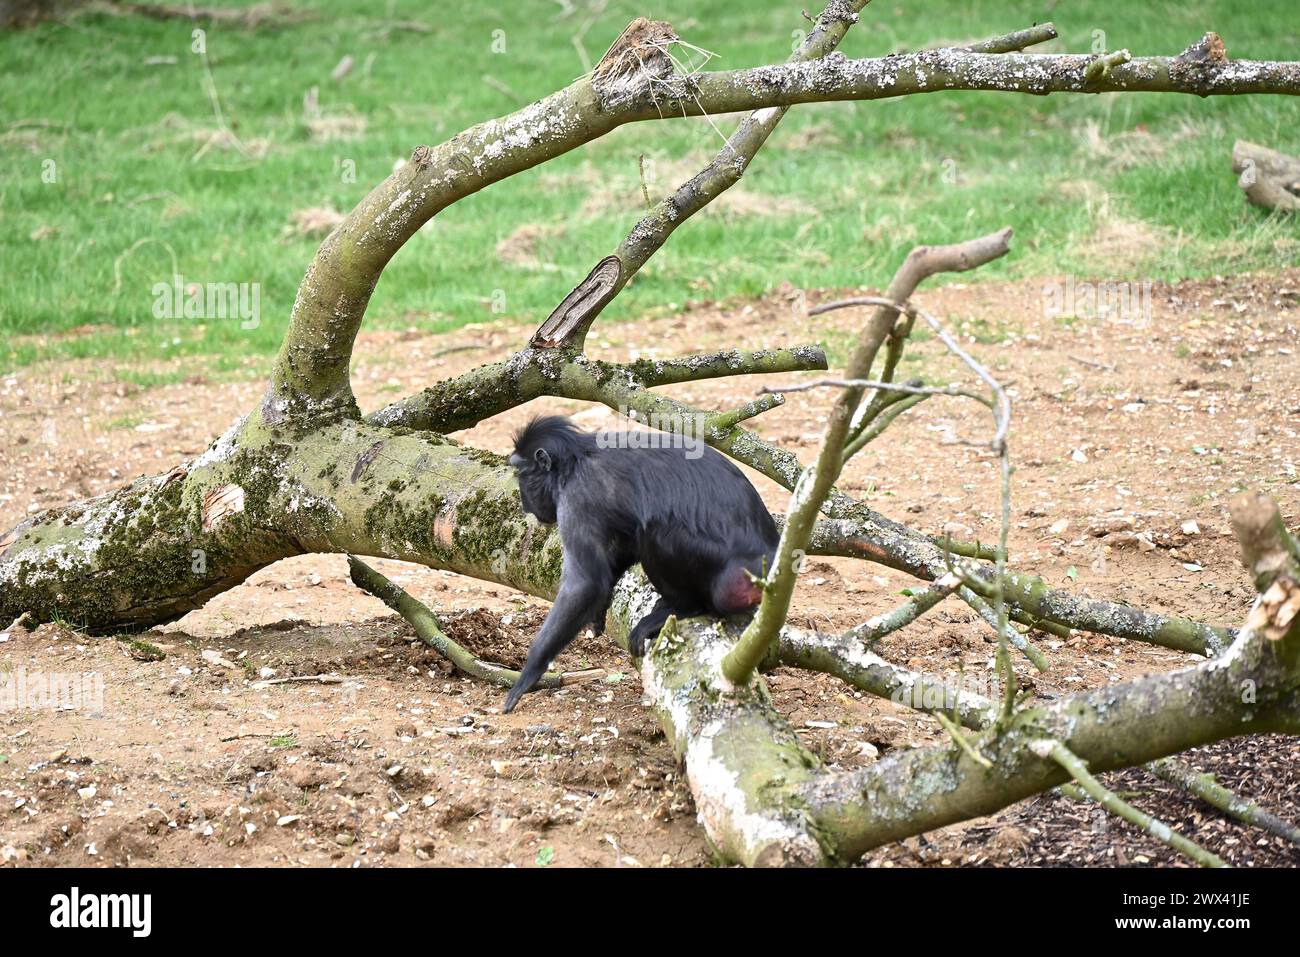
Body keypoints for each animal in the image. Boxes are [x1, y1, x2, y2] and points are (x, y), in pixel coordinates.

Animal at [502, 416, 779, 713]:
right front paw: (598, 612)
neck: (574, 460)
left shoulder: (577, 499)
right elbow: (621, 551)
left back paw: (683, 608)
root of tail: (766, 562)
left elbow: (586, 583)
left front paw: (529, 673)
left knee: (653, 534)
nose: (524, 504)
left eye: (521, 474)